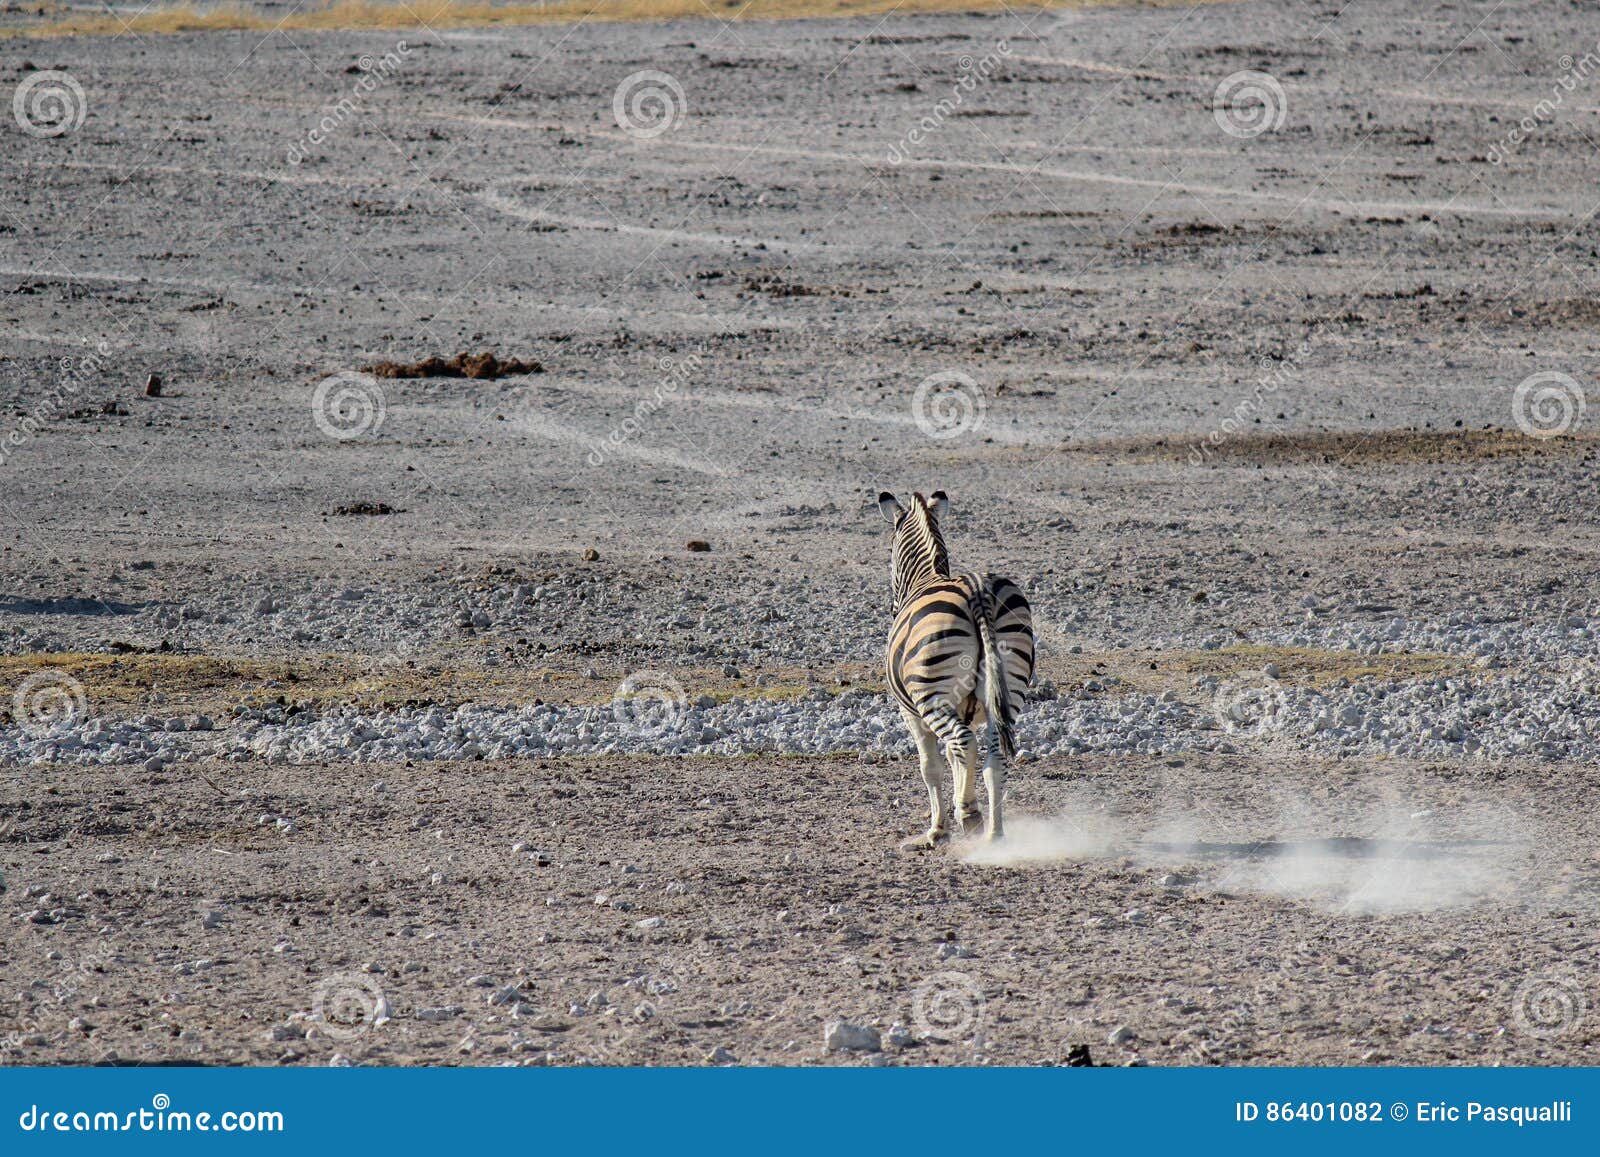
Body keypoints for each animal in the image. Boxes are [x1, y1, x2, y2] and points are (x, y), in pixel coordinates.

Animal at [878, 490, 1035, 848]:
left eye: (890, 553)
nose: (892, 608)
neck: (925, 577)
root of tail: (977, 589)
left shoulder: (911, 712)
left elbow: (931, 766)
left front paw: (938, 830)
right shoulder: (962, 708)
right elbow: (954, 759)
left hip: (930, 697)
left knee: (966, 743)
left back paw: (971, 818)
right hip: (1009, 690)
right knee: (993, 758)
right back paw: (994, 835)